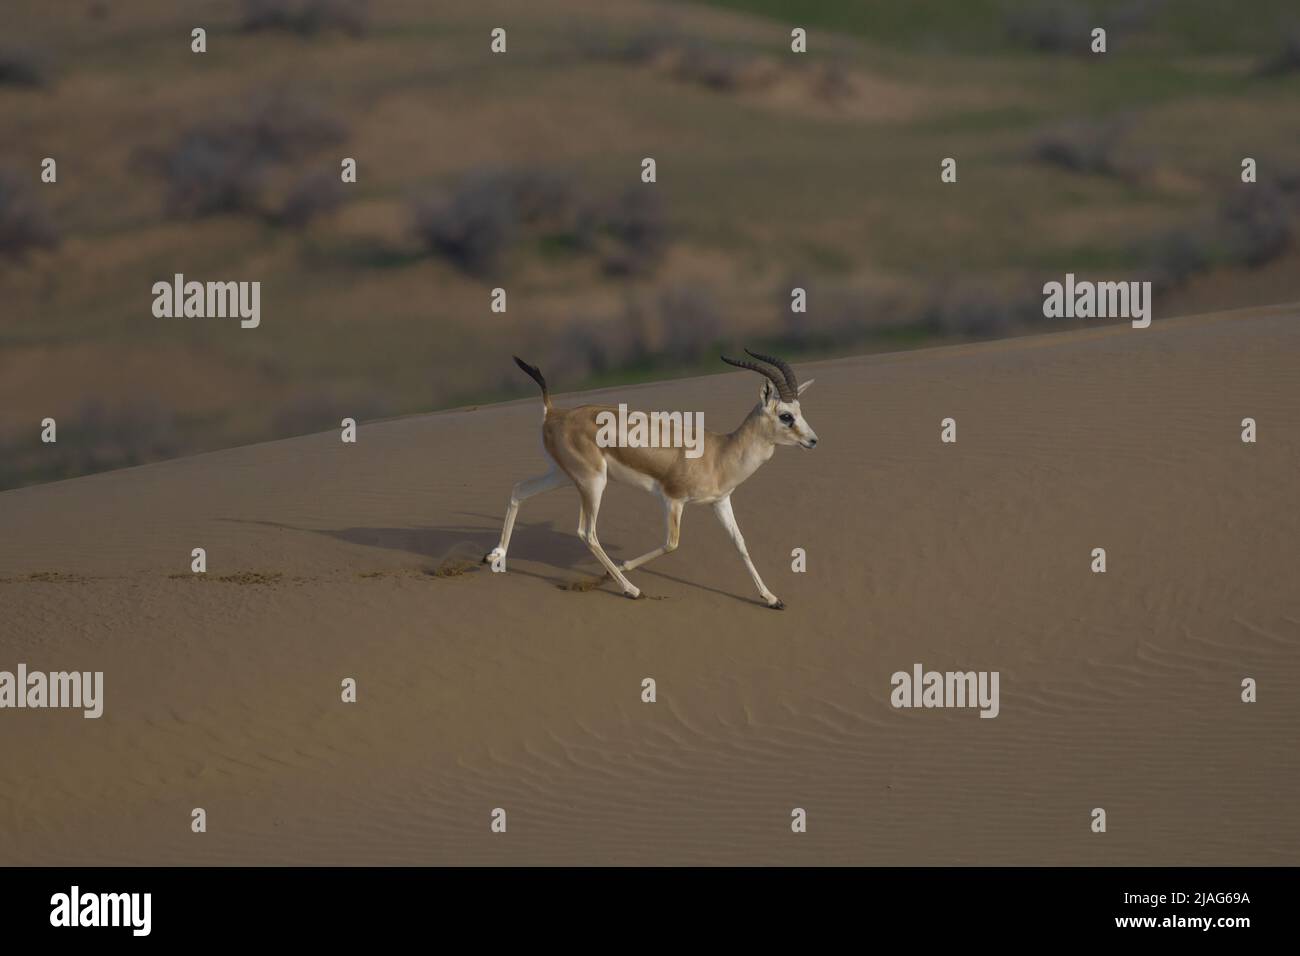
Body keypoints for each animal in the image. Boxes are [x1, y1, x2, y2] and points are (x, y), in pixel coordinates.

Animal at [483, 350, 818, 608]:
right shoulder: (673, 500)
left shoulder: (720, 502)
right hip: (592, 483)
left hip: (564, 475)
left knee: (520, 489)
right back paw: (631, 589)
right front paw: (621, 568)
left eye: (800, 410)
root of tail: (554, 412)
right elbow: (671, 544)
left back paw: (496, 556)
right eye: (786, 416)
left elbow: (740, 543)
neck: (719, 454)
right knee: (587, 532)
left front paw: (771, 598)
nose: (813, 440)